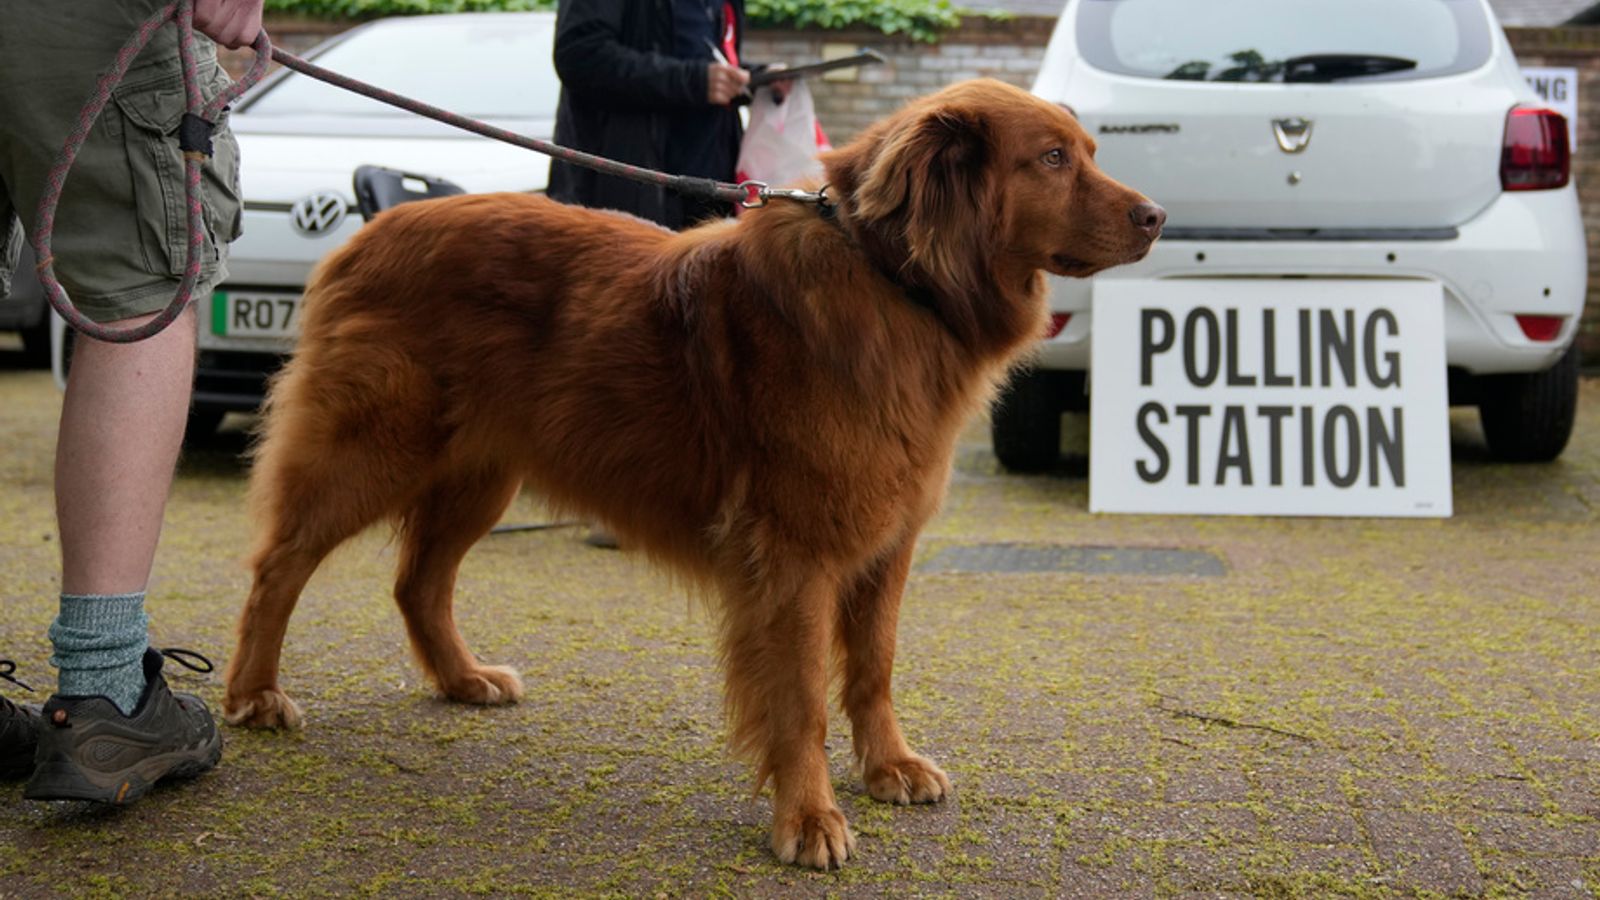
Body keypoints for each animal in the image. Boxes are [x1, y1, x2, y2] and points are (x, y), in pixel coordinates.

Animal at [222, 80, 1164, 864]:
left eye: (1087, 150)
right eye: (1052, 159)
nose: (1156, 215)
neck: (893, 279)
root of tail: (368, 230)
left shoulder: (886, 542)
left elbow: (874, 665)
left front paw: (888, 766)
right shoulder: (794, 554)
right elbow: (802, 697)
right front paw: (809, 817)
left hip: (482, 475)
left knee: (418, 581)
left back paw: (461, 679)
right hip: (371, 452)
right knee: (279, 567)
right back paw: (255, 695)